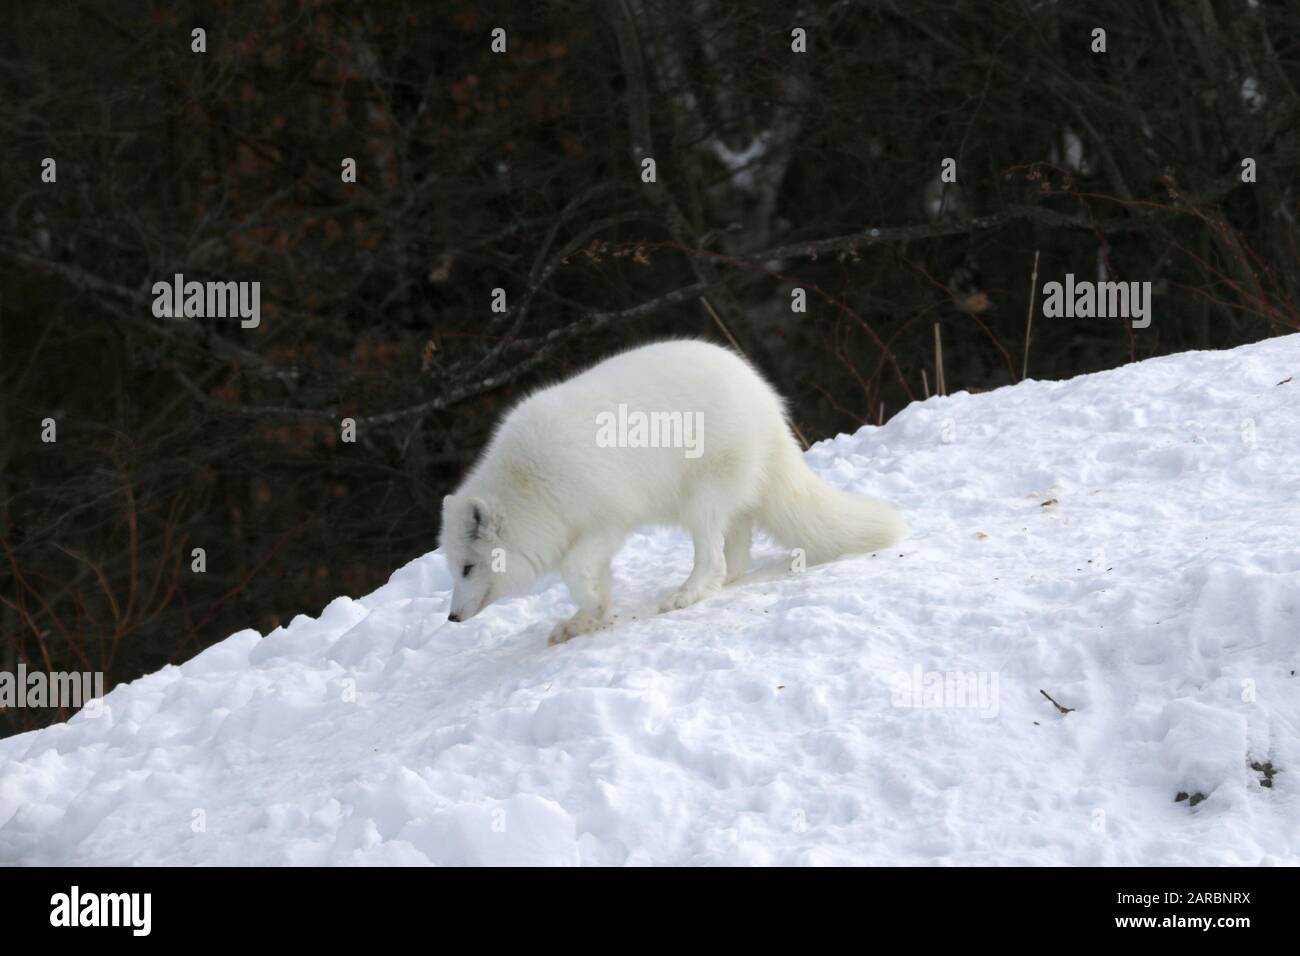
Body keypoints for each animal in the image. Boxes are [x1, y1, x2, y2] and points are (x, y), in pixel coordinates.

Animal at [439, 339, 907, 644]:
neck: (531, 485)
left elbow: (574, 570)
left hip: (701, 500)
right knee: (736, 543)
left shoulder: (608, 521)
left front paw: (591, 609)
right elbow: (591, 581)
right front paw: (586, 618)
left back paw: (689, 593)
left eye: (467, 568)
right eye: (454, 570)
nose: (452, 617)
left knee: (713, 555)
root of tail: (769, 404)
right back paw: (723, 581)